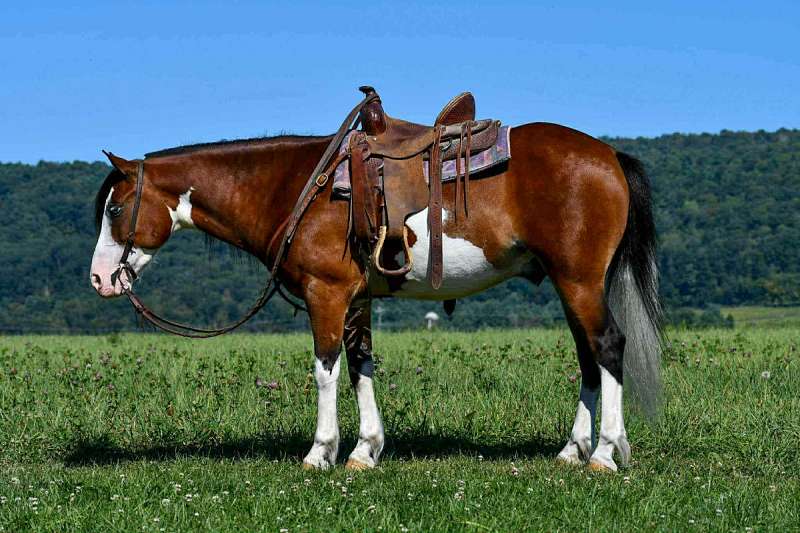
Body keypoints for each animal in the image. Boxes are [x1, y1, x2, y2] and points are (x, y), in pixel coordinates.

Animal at [90, 111, 662, 473]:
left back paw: (604, 454)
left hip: (579, 281)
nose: (100, 279)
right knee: (589, 359)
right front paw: (365, 452)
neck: (298, 187)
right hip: (570, 285)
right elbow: (360, 365)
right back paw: (572, 451)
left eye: (115, 209)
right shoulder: (357, 299)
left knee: (609, 346)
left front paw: (320, 453)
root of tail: (609, 155)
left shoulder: (326, 293)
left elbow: (325, 369)